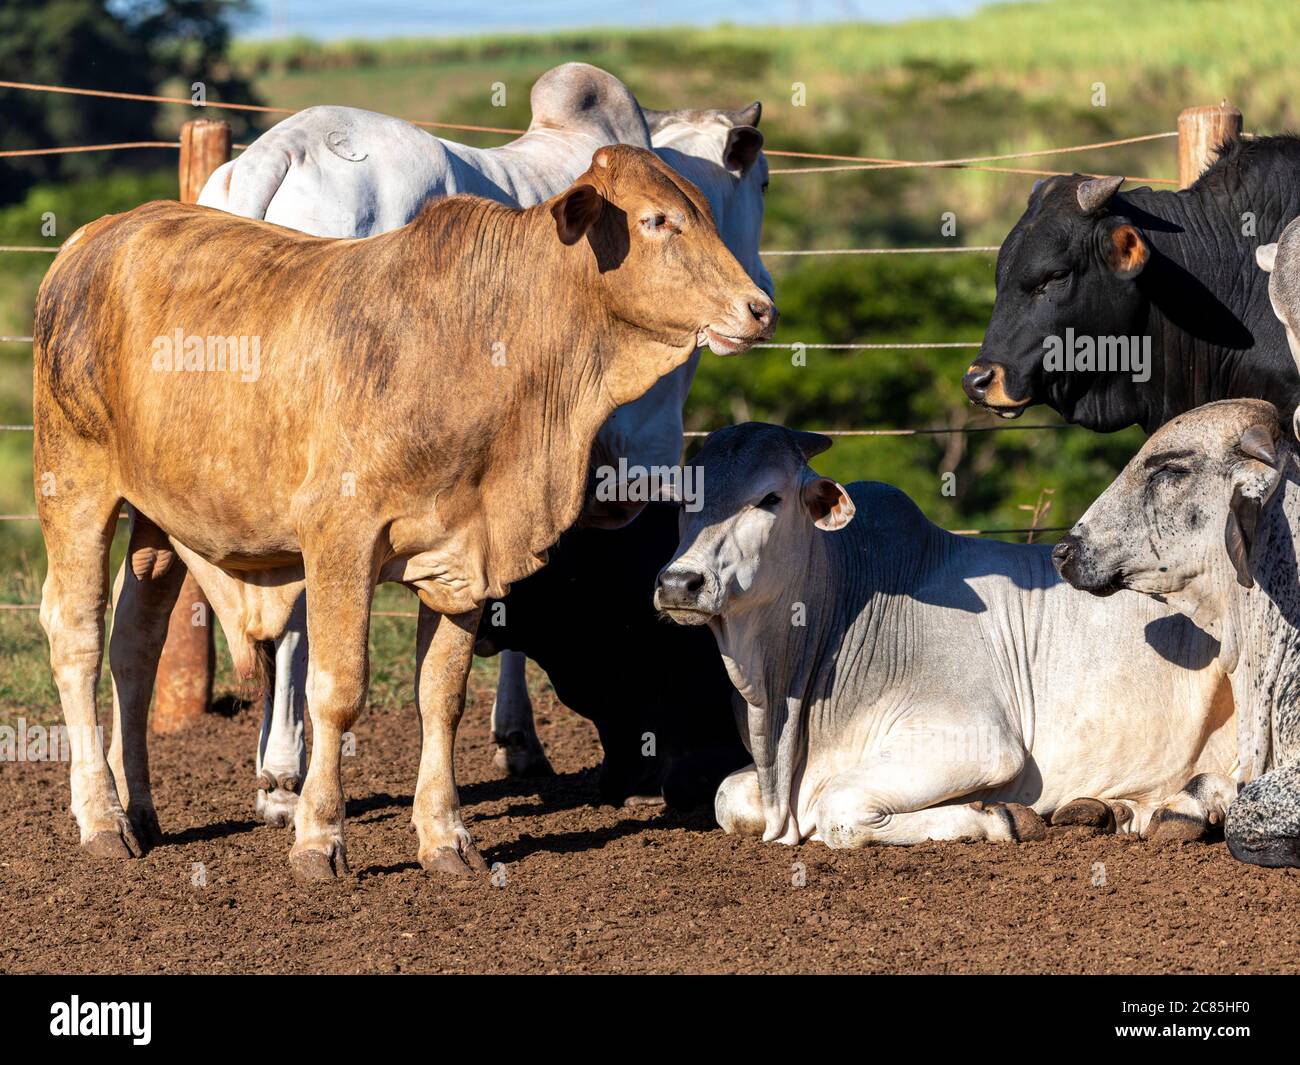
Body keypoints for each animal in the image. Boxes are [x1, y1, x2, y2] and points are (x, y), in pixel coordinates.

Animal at [652, 423, 1238, 848]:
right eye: (684, 500)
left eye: (769, 498)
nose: (680, 582)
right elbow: (727, 796)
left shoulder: (979, 741)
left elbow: (838, 810)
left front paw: (1000, 817)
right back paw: (1107, 809)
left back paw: (1187, 808)